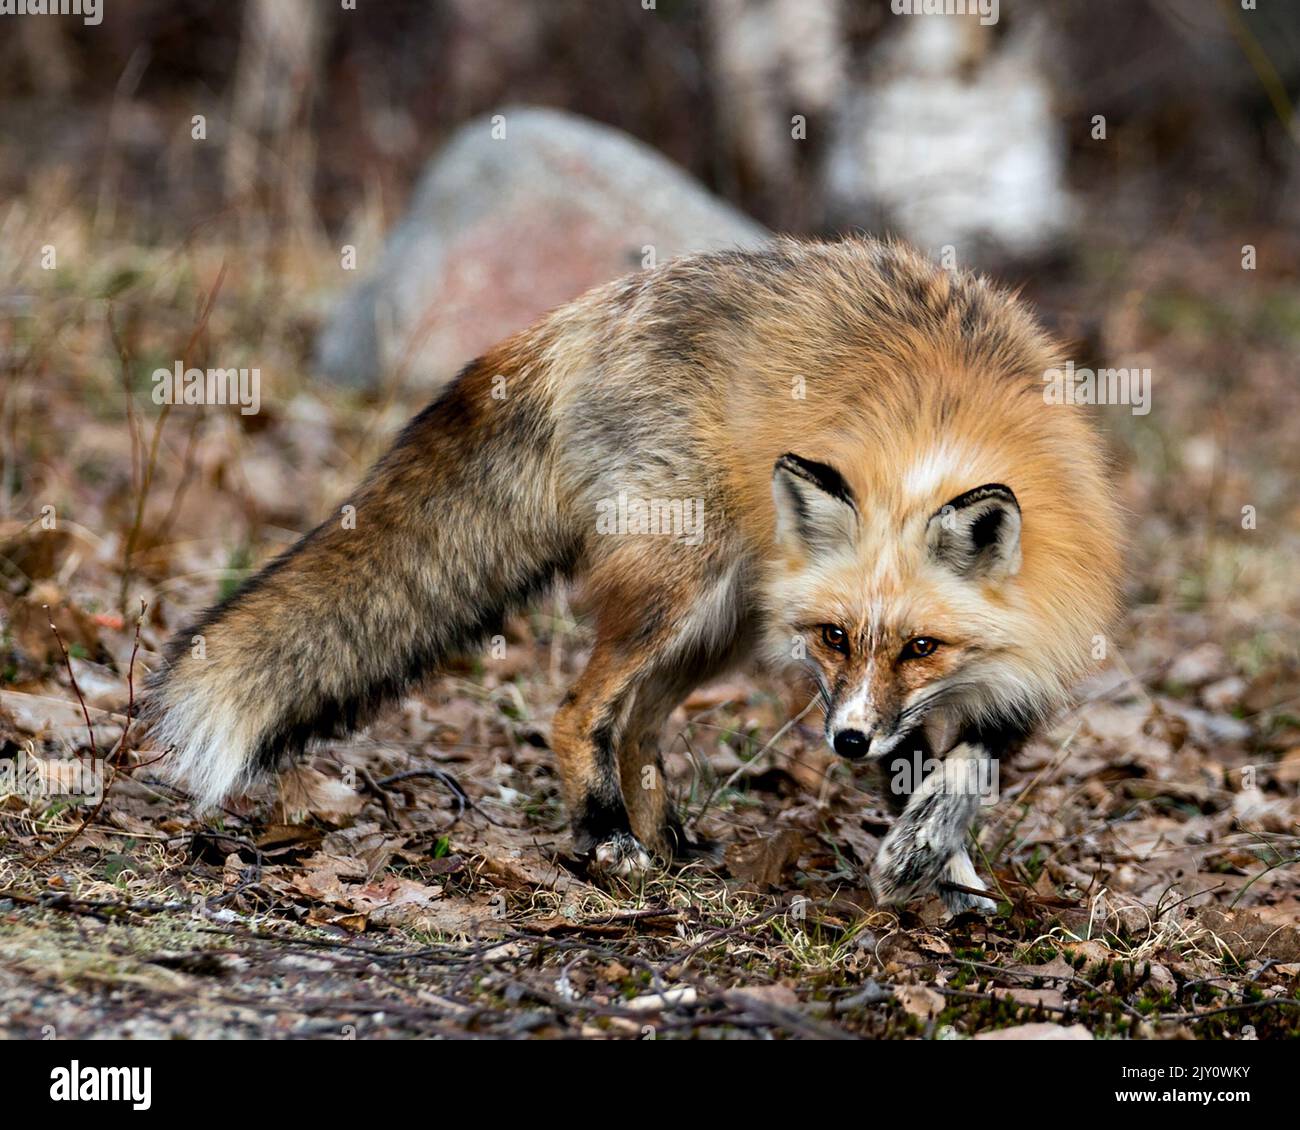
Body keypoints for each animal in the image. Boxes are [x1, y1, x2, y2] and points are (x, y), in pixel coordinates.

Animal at [144, 237, 1122, 914]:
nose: (844, 743)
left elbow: (958, 777)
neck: (936, 437)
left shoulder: (1017, 666)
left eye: (922, 646)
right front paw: (924, 869)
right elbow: (929, 778)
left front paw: (943, 871)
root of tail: (573, 319)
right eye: (838, 635)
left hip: (721, 624)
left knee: (641, 722)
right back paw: (608, 835)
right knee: (581, 712)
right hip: (676, 588)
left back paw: (668, 839)